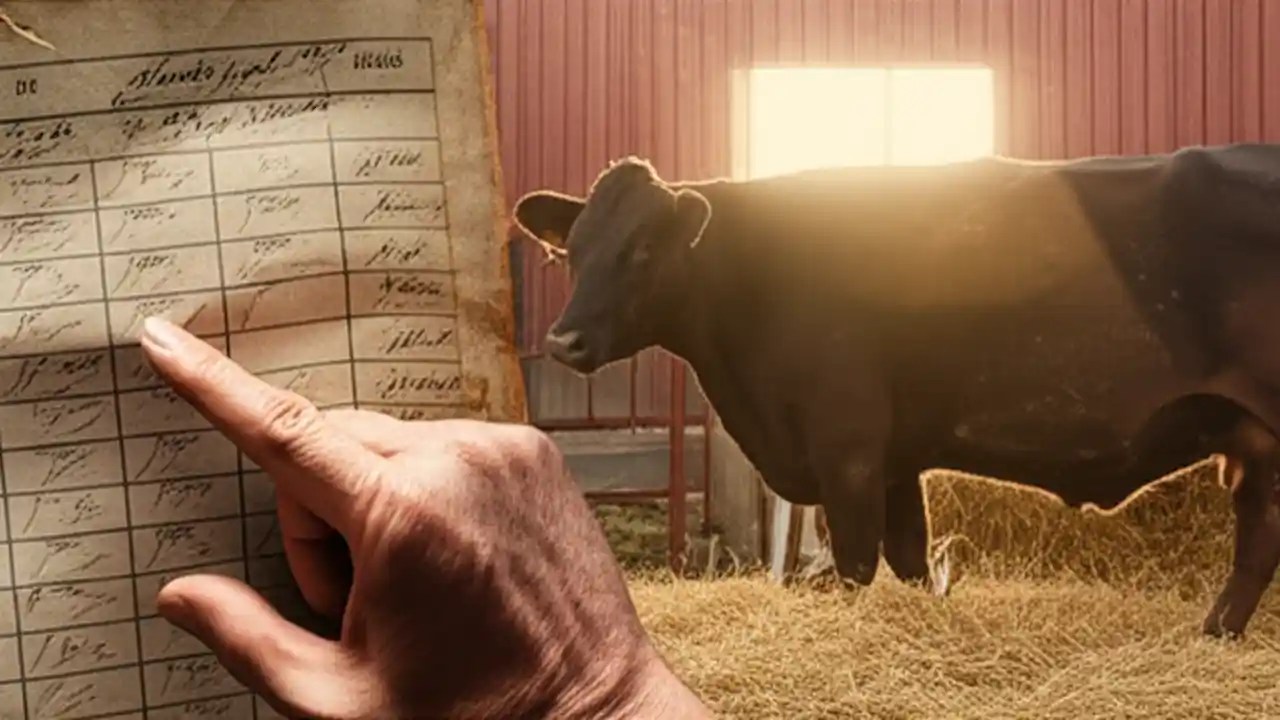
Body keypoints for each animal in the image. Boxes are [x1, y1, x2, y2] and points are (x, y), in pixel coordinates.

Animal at [510, 145, 1280, 638]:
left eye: (642, 250)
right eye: (572, 249)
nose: (564, 341)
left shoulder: (846, 448)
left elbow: (857, 562)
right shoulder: (896, 457)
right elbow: (909, 558)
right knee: (1258, 540)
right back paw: (1214, 633)